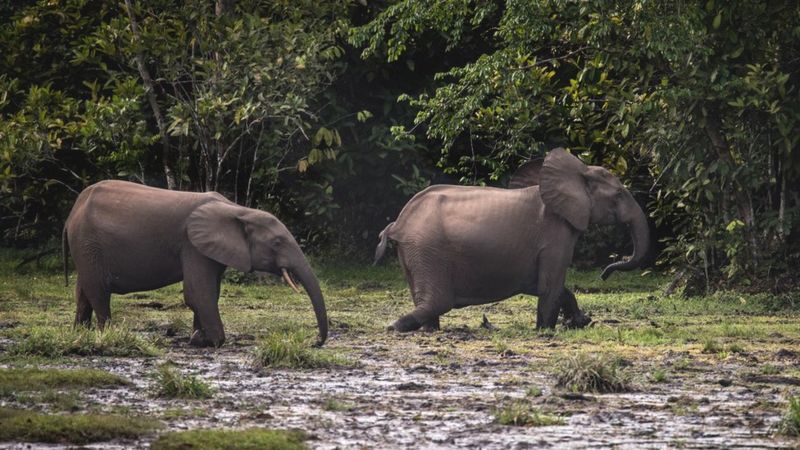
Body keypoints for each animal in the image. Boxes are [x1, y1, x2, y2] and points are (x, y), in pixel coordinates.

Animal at [62, 180, 327, 347]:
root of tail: (72, 212)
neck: (238, 210)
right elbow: (198, 294)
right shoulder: (191, 245)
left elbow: (209, 293)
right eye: (277, 243)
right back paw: (107, 334)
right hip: (87, 243)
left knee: (83, 292)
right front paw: (213, 342)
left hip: (86, 249)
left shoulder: (208, 250)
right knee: (98, 292)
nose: (314, 342)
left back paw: (80, 334)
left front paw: (198, 339)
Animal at [373, 147, 650, 332]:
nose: (604, 274)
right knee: (438, 301)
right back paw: (394, 326)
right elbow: (550, 286)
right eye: (619, 194)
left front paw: (578, 322)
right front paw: (545, 331)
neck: (578, 171)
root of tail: (398, 223)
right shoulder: (556, 233)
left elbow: (548, 287)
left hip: (414, 251)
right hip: (427, 249)